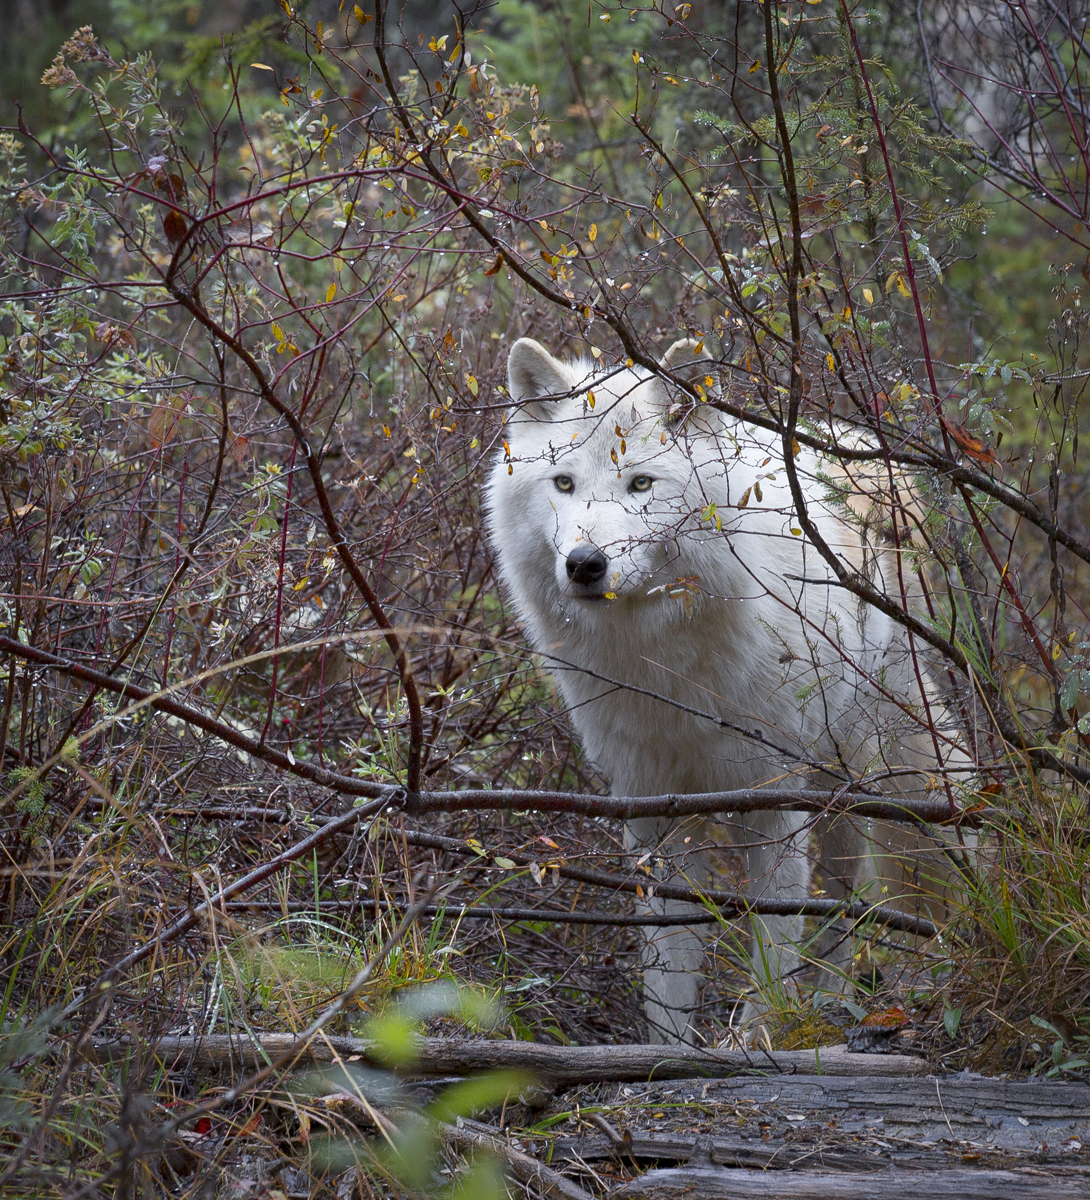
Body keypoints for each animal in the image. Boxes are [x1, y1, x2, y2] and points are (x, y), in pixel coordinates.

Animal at [486, 336, 965, 1044]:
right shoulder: (653, 813)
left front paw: (762, 1039)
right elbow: (666, 974)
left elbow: (772, 943)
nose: (585, 564)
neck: (667, 666)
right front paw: (672, 1050)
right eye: (564, 483)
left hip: (888, 769)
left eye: (641, 483)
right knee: (847, 893)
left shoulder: (773, 806)